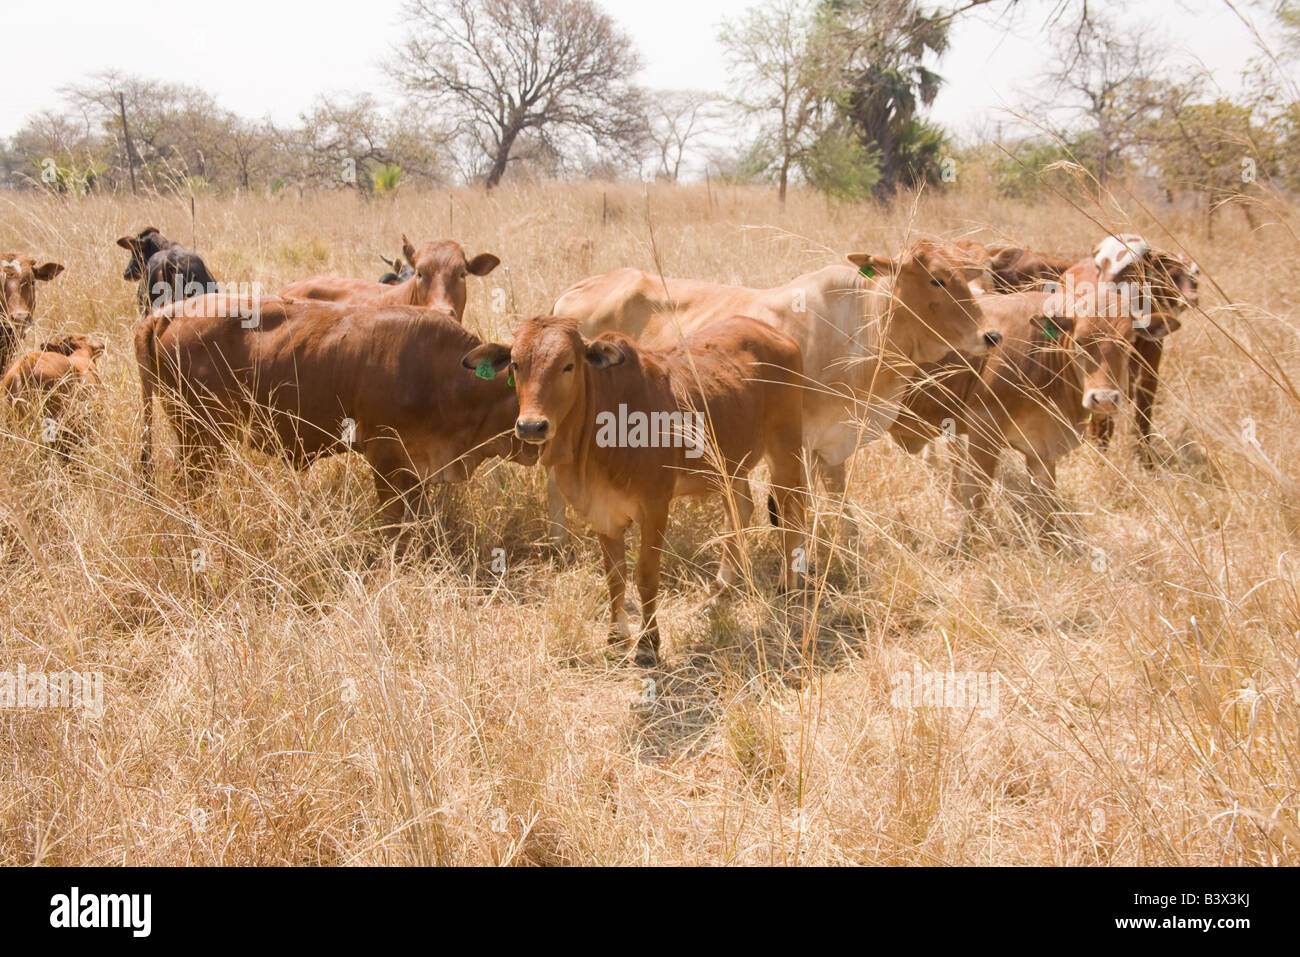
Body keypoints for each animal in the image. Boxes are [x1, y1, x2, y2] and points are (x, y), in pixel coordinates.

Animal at [463, 314, 808, 667]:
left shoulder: (655, 508)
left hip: (786, 450)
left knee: (791, 514)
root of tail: (772, 332)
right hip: (731, 464)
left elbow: (646, 576)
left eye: (568, 365)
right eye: (515, 364)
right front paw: (616, 638)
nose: (531, 426)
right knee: (741, 509)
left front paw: (648, 644)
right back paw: (718, 594)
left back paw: (788, 592)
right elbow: (615, 577)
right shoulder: (602, 512)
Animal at [547, 240, 1000, 542]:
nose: (991, 334)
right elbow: (793, 507)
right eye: (937, 280)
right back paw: (559, 537)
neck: (861, 327)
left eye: (966, 276)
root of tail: (574, 292)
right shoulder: (796, 441)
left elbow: (839, 501)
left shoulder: (832, 441)